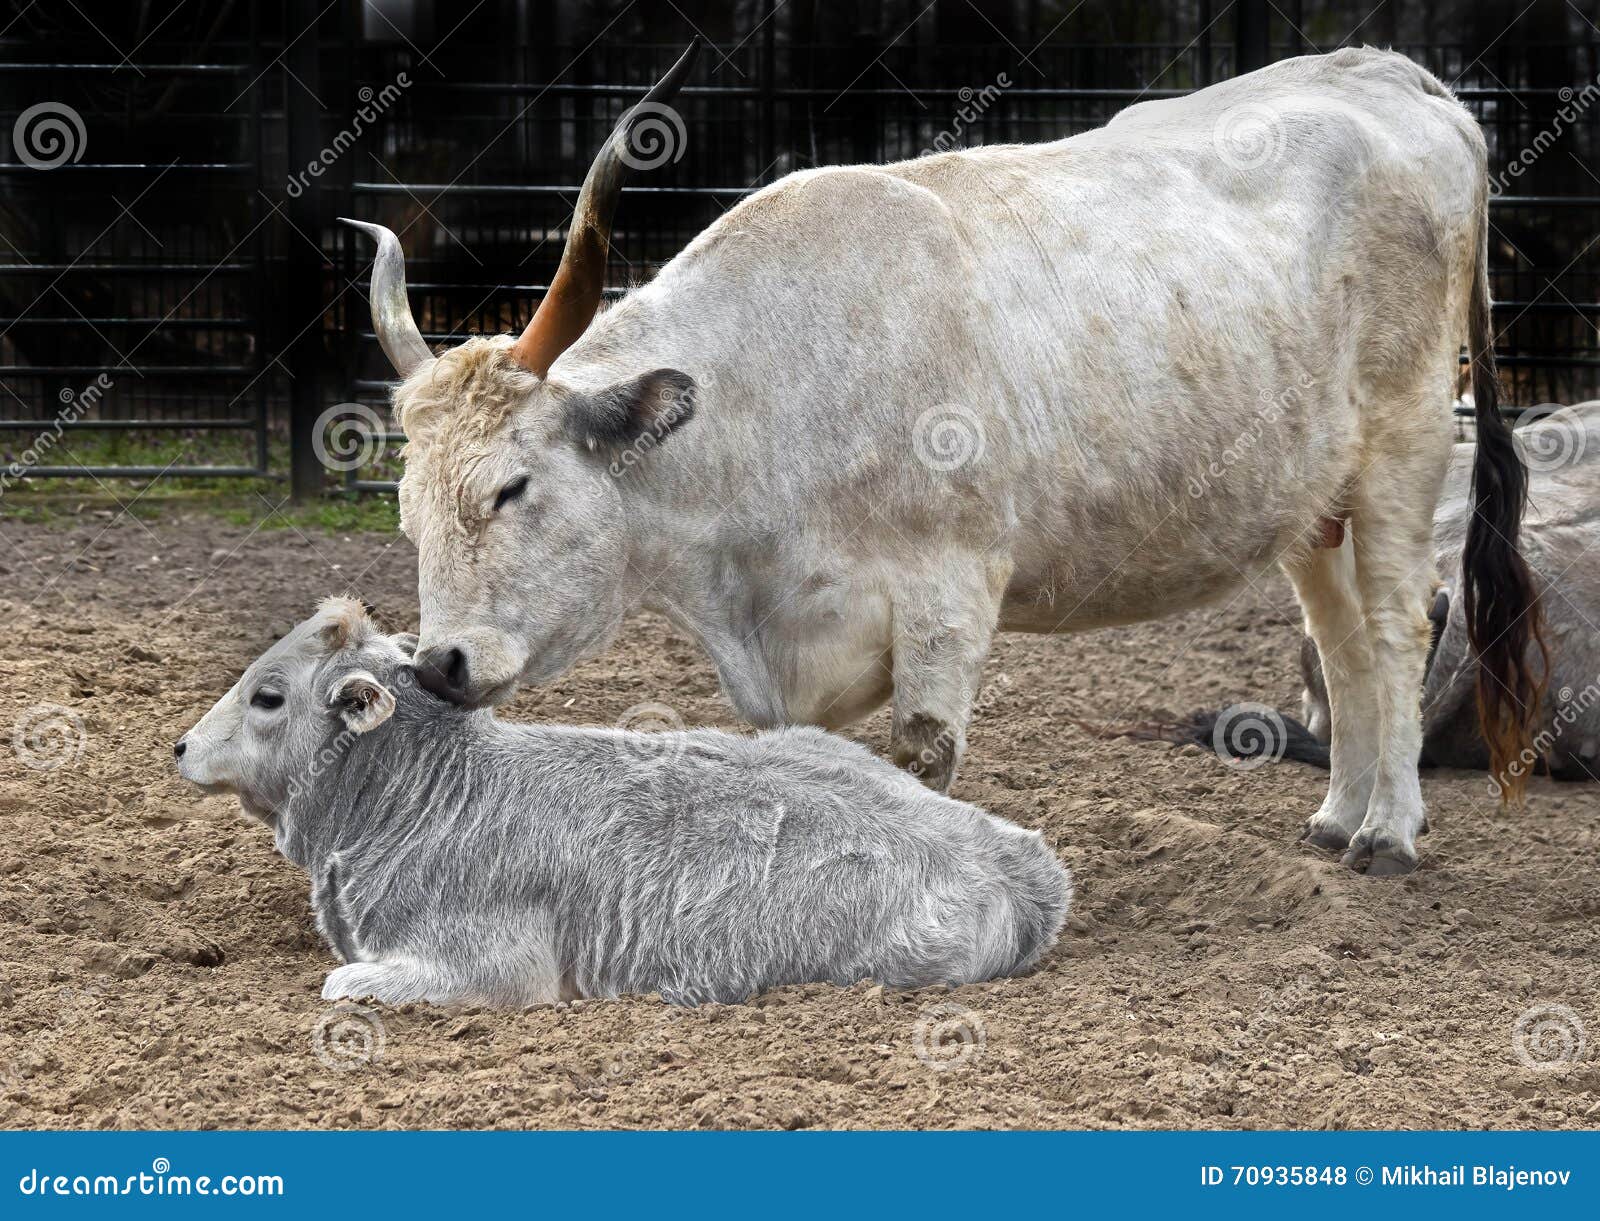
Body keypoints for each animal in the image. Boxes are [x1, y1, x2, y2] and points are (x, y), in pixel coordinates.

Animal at [345, 43, 1544, 877]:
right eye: (406, 513)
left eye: (512, 486)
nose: (440, 664)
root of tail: (1389, 75)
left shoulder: (947, 590)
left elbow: (922, 754)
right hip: (1309, 495)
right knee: (1338, 638)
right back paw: (1338, 813)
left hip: (1403, 443)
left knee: (1395, 626)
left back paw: (1388, 833)